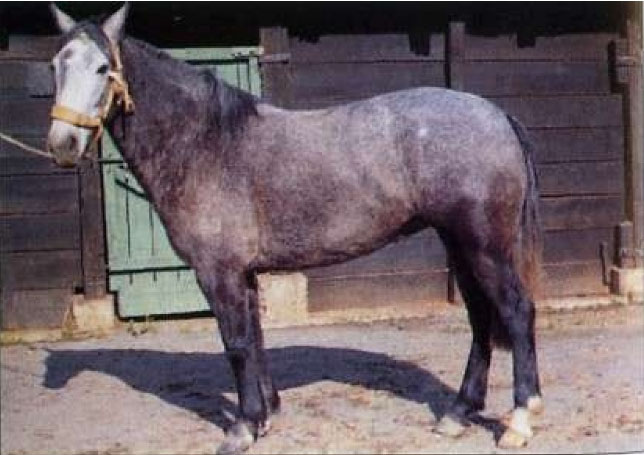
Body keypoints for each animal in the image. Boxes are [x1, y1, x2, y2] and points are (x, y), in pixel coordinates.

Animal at [46, 4, 544, 453]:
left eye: (103, 67)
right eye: (55, 65)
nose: (63, 143)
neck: (207, 143)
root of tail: (496, 116)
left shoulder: (218, 273)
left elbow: (236, 344)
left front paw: (242, 429)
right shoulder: (243, 275)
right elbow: (255, 340)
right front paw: (265, 416)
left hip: (485, 247)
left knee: (517, 312)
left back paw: (520, 420)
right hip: (460, 245)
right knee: (481, 319)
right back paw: (457, 415)